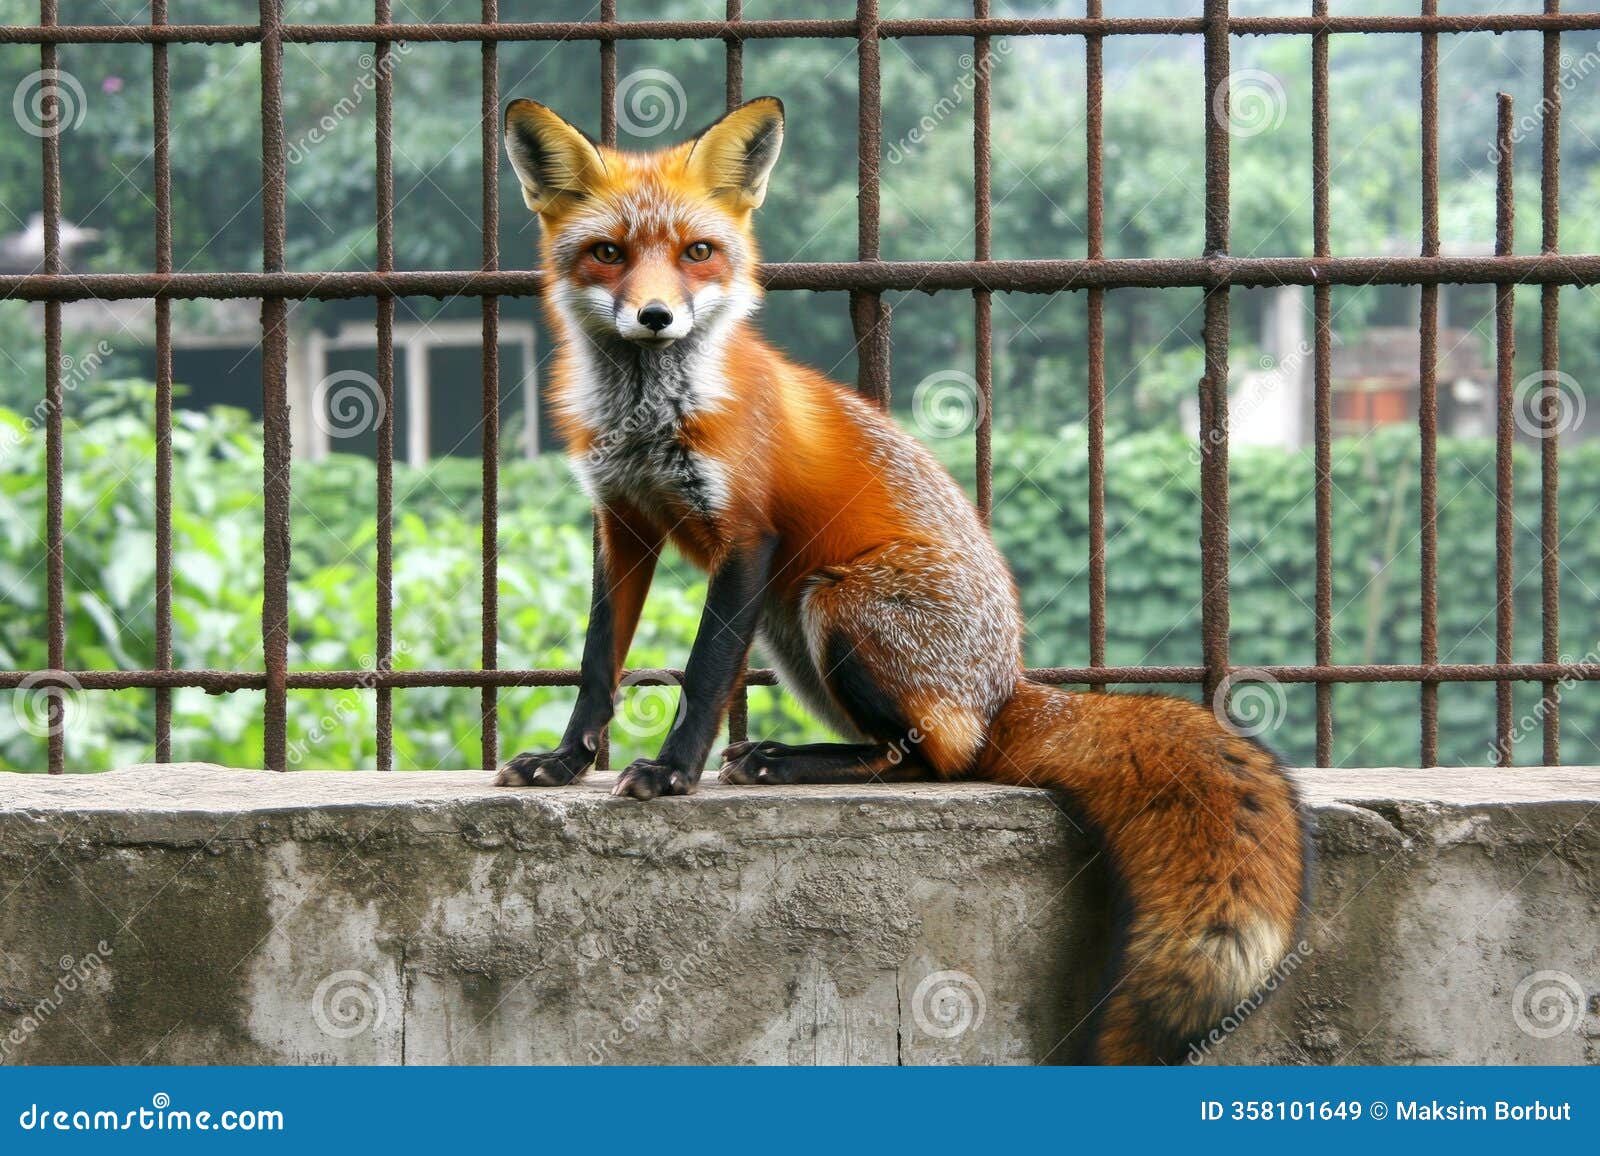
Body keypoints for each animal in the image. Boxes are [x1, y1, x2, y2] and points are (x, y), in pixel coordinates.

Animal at [496, 95, 1310, 1065]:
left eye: (697, 252)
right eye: (608, 253)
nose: (656, 316)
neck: (654, 414)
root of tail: (1007, 689)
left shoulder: (747, 536)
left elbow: (700, 676)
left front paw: (670, 774)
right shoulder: (622, 525)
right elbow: (596, 666)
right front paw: (566, 761)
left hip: (830, 599)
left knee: (936, 760)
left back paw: (791, 762)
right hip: (790, 624)